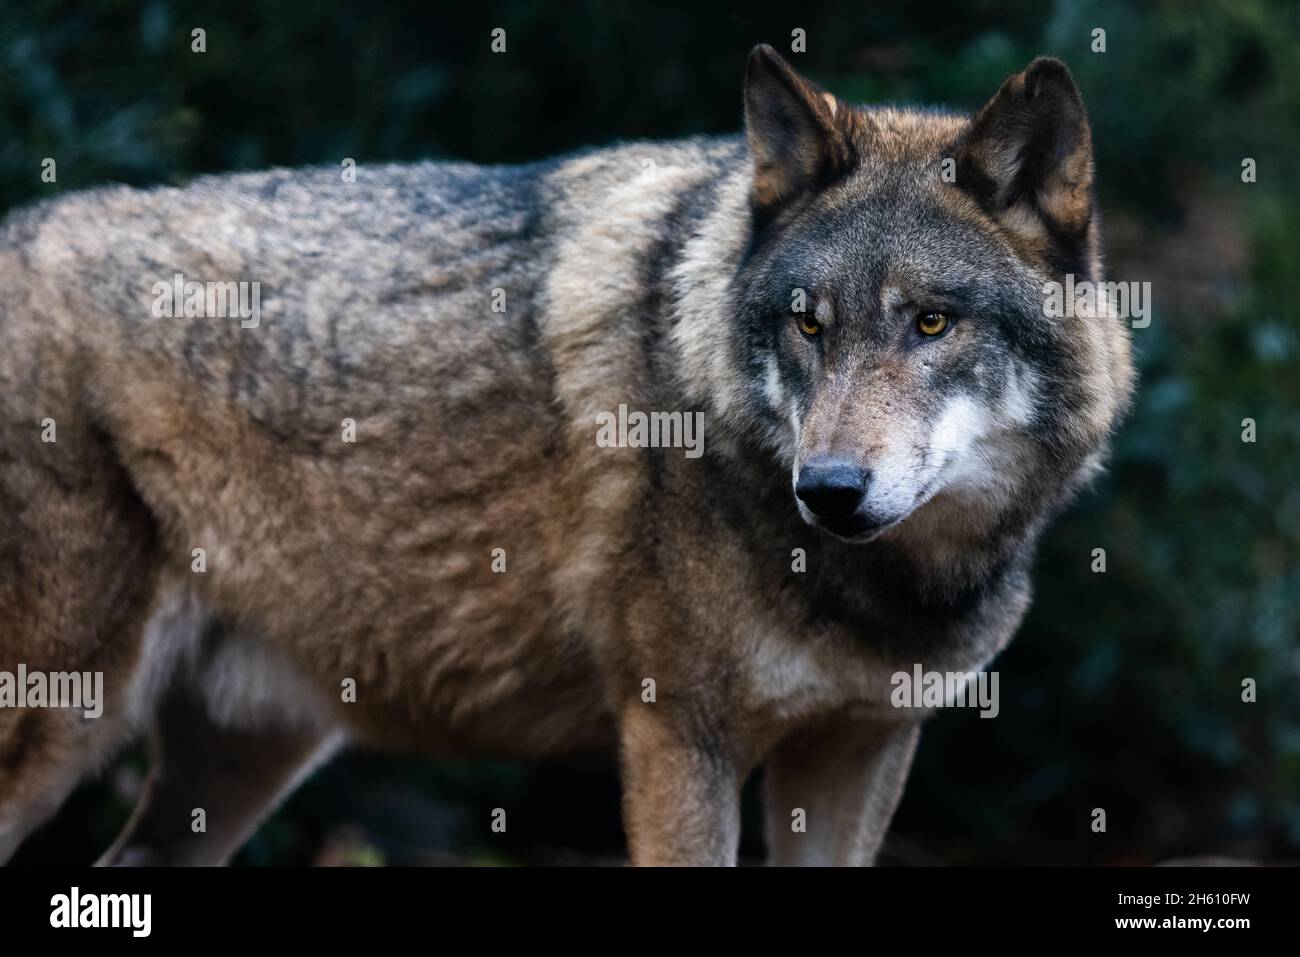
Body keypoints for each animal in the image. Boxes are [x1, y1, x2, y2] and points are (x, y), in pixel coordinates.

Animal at [0, 45, 1131, 866]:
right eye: (808, 325)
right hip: (61, 723)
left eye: (932, 322)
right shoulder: (680, 738)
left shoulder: (860, 748)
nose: (829, 490)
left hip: (237, 760)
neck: (881, 588)